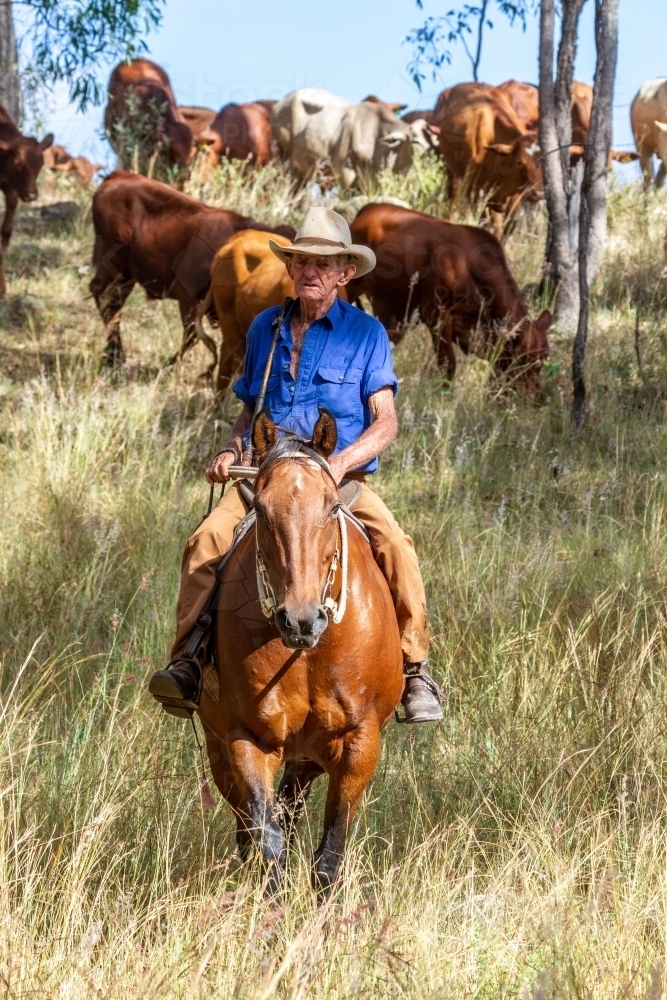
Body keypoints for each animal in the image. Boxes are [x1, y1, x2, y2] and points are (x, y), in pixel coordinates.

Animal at [89, 171, 295, 369]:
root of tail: (118, 175)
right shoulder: (188, 295)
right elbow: (192, 334)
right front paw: (170, 364)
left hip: (126, 276)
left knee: (111, 303)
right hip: (114, 264)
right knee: (104, 297)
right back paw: (116, 356)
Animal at [197, 409, 404, 897]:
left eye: (330, 506)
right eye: (260, 508)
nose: (300, 619)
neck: (308, 653)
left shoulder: (360, 742)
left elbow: (330, 850)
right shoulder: (246, 738)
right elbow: (267, 841)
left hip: (307, 756)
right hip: (221, 747)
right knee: (252, 828)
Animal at [271, 88, 433, 187]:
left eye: (430, 142)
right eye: (415, 141)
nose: (427, 159)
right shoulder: (346, 173)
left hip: (302, 170)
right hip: (283, 158)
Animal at [347, 202, 551, 391]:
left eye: (544, 357)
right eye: (522, 358)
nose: (532, 395)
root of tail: (369, 208)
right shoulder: (436, 316)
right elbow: (448, 365)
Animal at [429, 82, 542, 236]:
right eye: (520, 162)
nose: (539, 193)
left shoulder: (515, 199)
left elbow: (507, 228)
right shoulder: (476, 193)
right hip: (451, 171)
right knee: (452, 201)